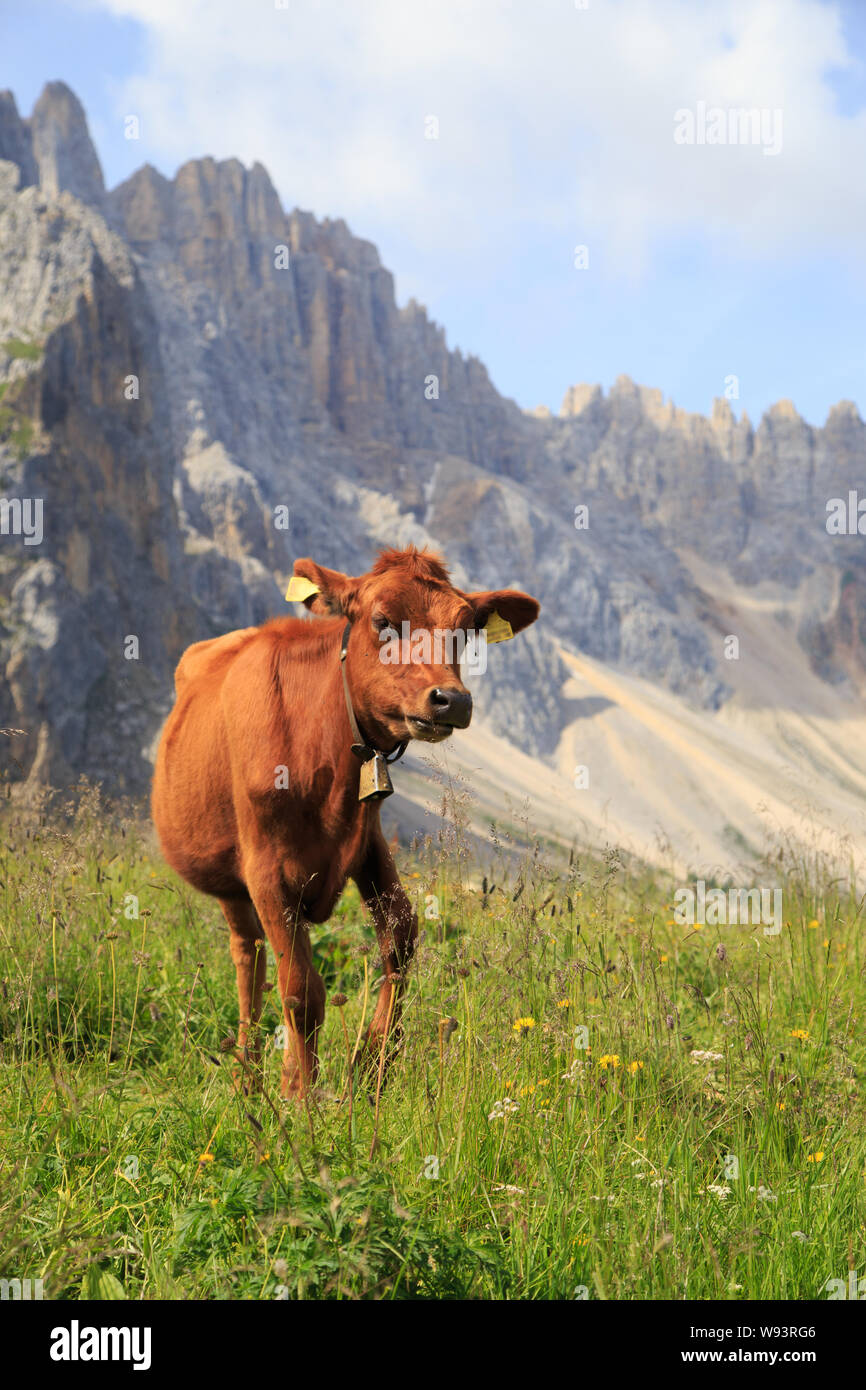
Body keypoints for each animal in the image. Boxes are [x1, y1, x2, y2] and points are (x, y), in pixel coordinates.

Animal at [151, 546, 540, 1099]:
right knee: (249, 958)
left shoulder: (366, 839)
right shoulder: (264, 867)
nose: (453, 700)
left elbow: (400, 937)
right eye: (382, 621)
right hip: (230, 879)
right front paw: (305, 1099)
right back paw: (249, 1077)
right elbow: (301, 990)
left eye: (465, 631)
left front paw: (372, 1065)